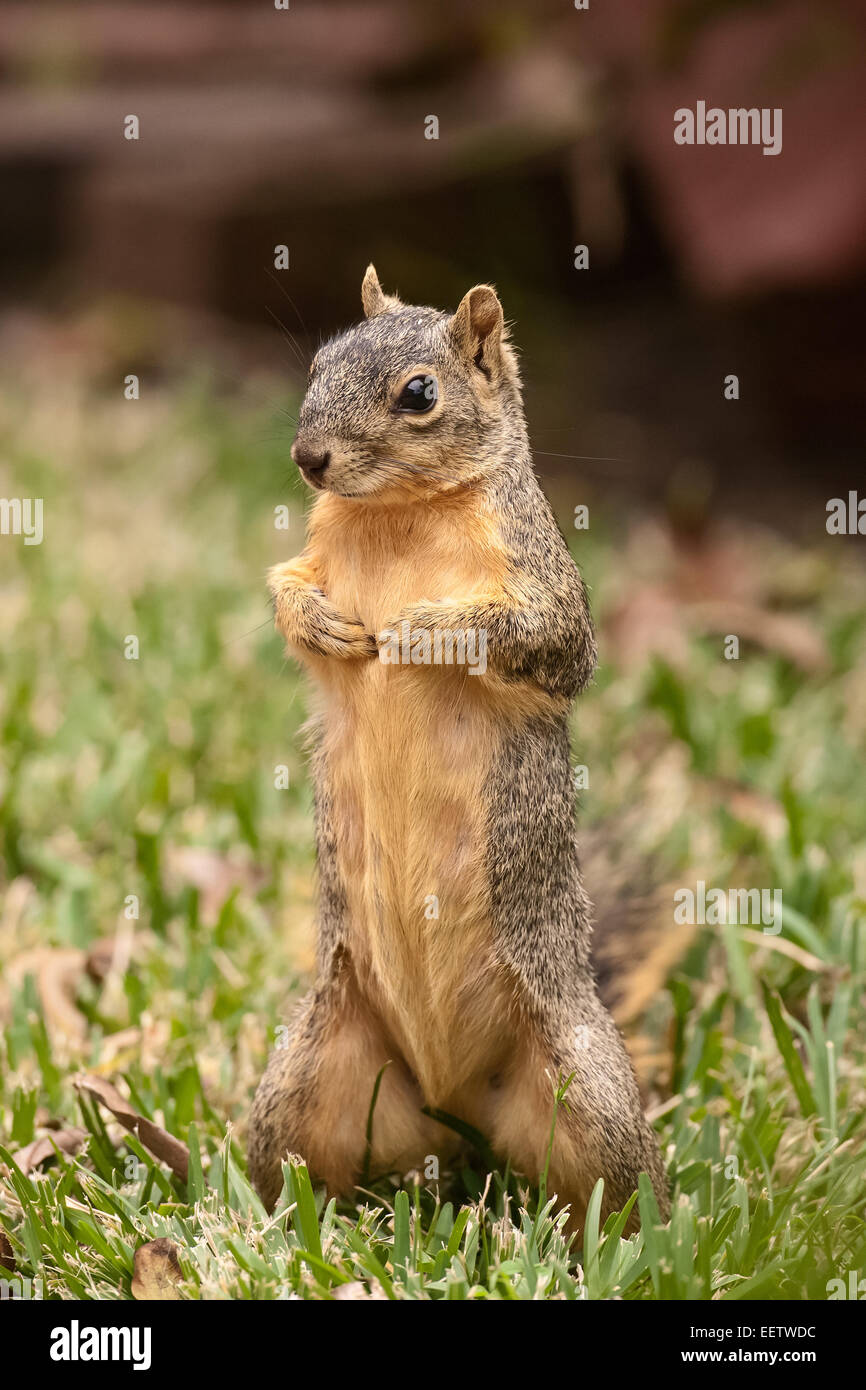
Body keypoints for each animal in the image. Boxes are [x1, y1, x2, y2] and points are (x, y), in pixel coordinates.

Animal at [248, 265, 671, 1229]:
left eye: (419, 394)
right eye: (320, 361)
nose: (308, 459)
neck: (402, 514)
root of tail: (454, 1106)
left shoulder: (541, 584)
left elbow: (548, 641)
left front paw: (424, 629)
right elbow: (286, 589)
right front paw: (319, 620)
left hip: (587, 1094)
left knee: (625, 1199)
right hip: (304, 1075)